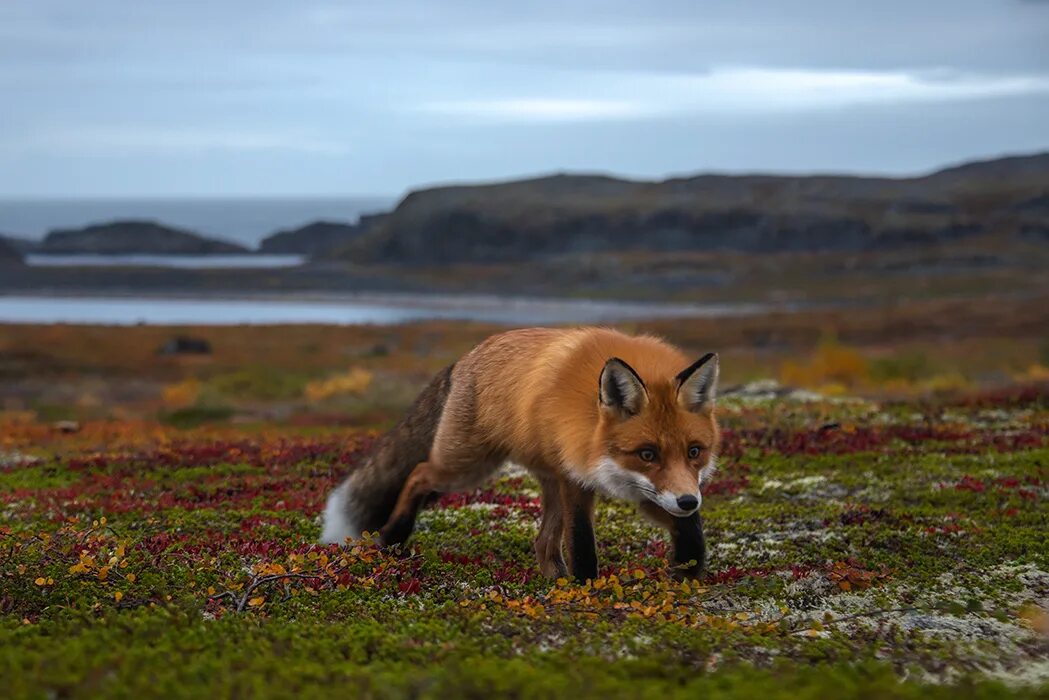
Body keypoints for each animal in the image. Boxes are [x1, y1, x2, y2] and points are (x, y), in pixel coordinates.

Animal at [318, 327, 717, 579]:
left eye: (694, 451)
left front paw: (687, 571)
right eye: (647, 454)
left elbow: (690, 529)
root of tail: (463, 360)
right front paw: (587, 586)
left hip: (543, 481)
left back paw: (555, 578)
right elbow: (582, 542)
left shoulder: (648, 489)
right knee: (417, 474)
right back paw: (393, 538)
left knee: (542, 542)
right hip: (466, 466)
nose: (688, 500)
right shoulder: (578, 479)